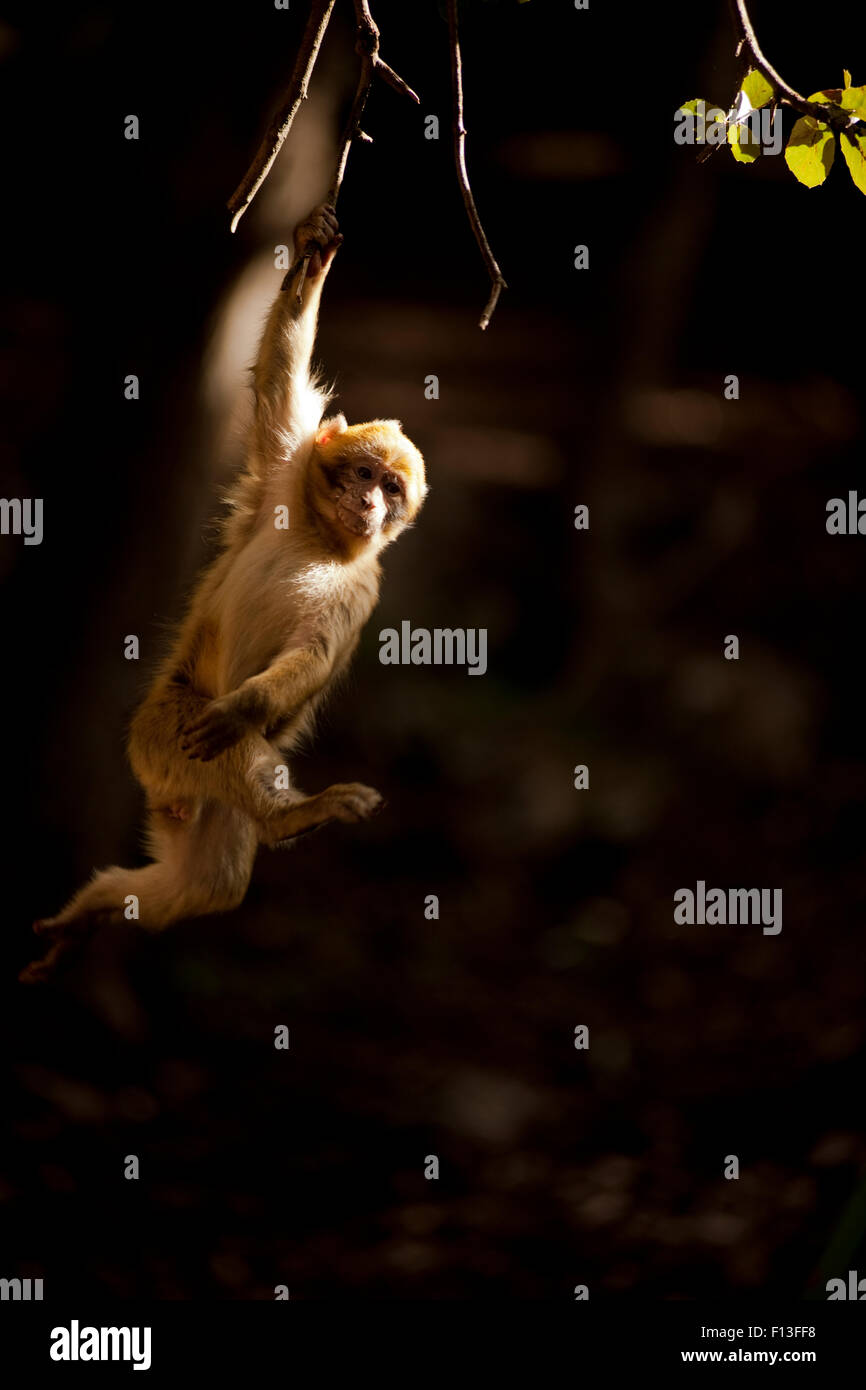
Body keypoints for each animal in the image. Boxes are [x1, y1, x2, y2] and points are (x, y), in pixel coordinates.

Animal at [21, 203, 427, 983]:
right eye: (364, 474)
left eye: (392, 489)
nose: (370, 504)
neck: (325, 539)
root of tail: (169, 791)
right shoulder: (285, 471)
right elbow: (278, 384)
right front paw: (312, 261)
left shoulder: (364, 586)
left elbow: (312, 654)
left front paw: (252, 705)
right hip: (159, 732)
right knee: (209, 774)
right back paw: (285, 817)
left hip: (202, 798)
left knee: (205, 880)